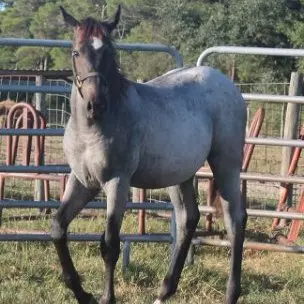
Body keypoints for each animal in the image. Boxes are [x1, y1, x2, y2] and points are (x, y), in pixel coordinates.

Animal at [51, 5, 247, 304]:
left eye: (109, 53)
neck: (91, 130)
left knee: (235, 220)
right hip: (179, 175)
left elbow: (109, 244)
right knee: (188, 218)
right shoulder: (83, 182)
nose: (95, 105)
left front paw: (106, 298)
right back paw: (164, 292)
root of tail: (228, 84)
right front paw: (82, 293)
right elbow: (58, 228)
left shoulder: (117, 183)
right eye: (76, 52)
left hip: (226, 165)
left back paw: (230, 294)